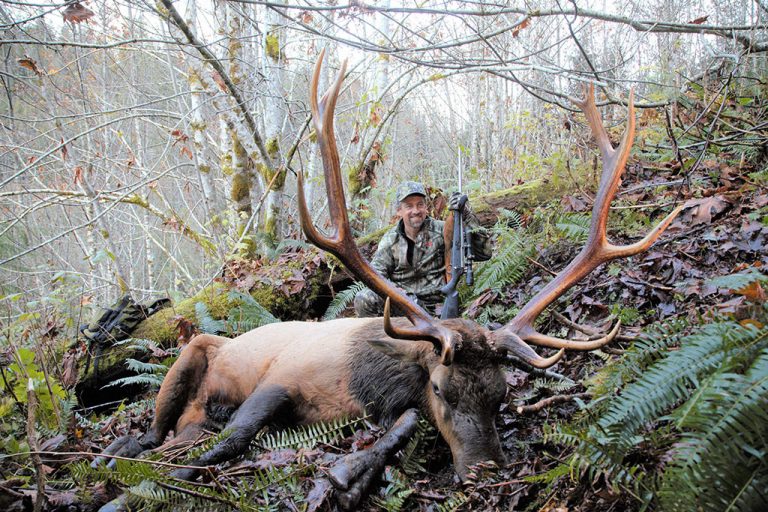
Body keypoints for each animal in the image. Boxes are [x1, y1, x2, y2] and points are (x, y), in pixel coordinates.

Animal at [92, 52, 684, 511]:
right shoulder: (277, 379)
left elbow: (401, 426)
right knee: (149, 434)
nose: (487, 471)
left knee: (156, 437)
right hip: (189, 356)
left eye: (501, 393)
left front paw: (350, 478)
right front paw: (130, 496)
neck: (358, 385)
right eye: (442, 388)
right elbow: (230, 442)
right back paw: (109, 464)